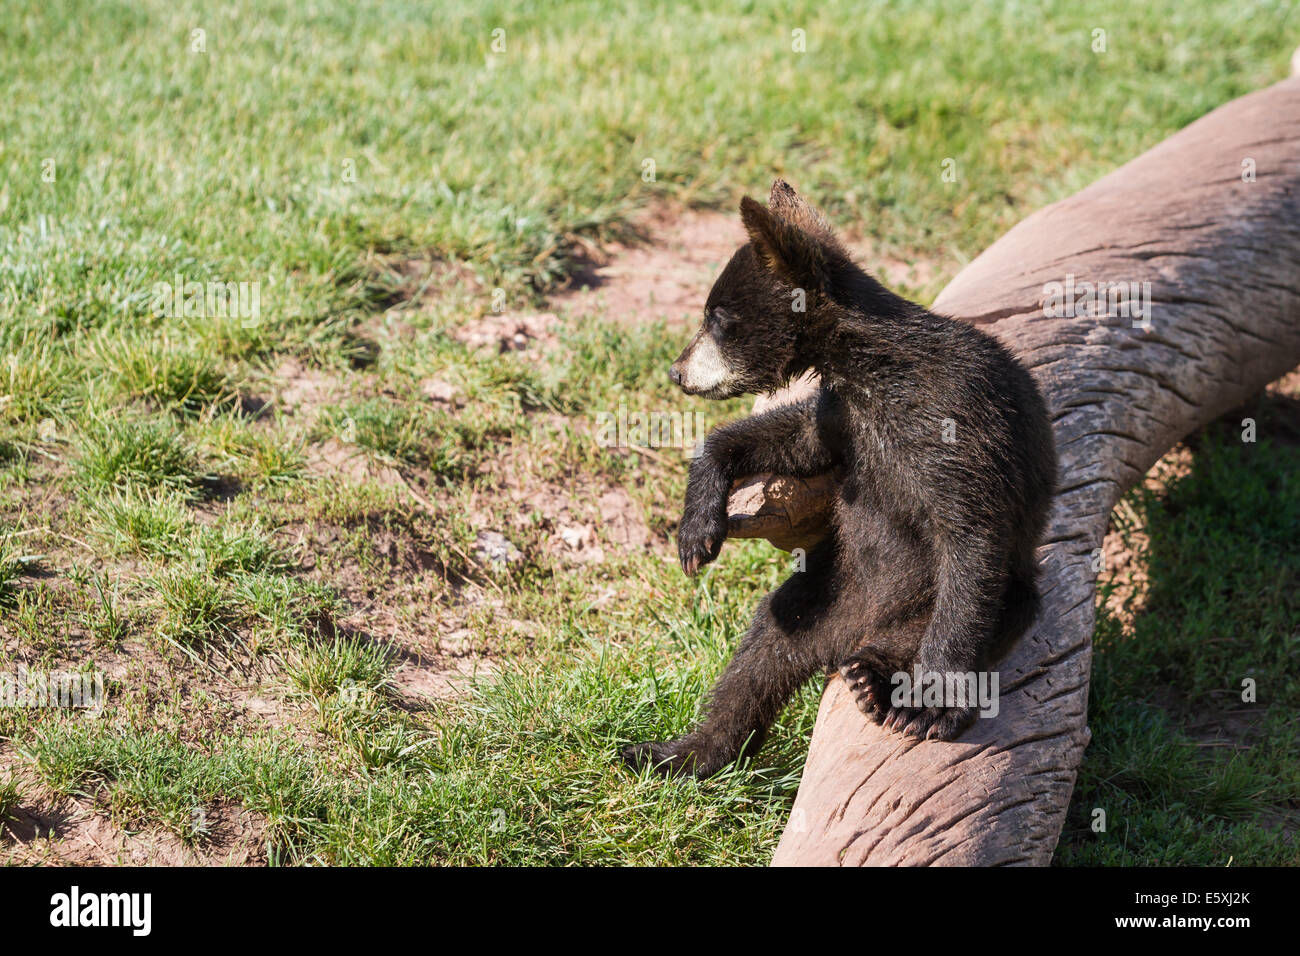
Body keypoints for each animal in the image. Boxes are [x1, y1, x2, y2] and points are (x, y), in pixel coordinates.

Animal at [621, 180, 1057, 778]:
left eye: (717, 318)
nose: (676, 371)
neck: (867, 365)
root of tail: (840, 638)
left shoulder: (956, 417)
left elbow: (970, 535)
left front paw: (935, 707)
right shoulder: (843, 410)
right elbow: (800, 444)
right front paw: (696, 531)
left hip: (936, 601)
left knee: (976, 610)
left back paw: (875, 680)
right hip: (823, 596)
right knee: (760, 650)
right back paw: (678, 753)